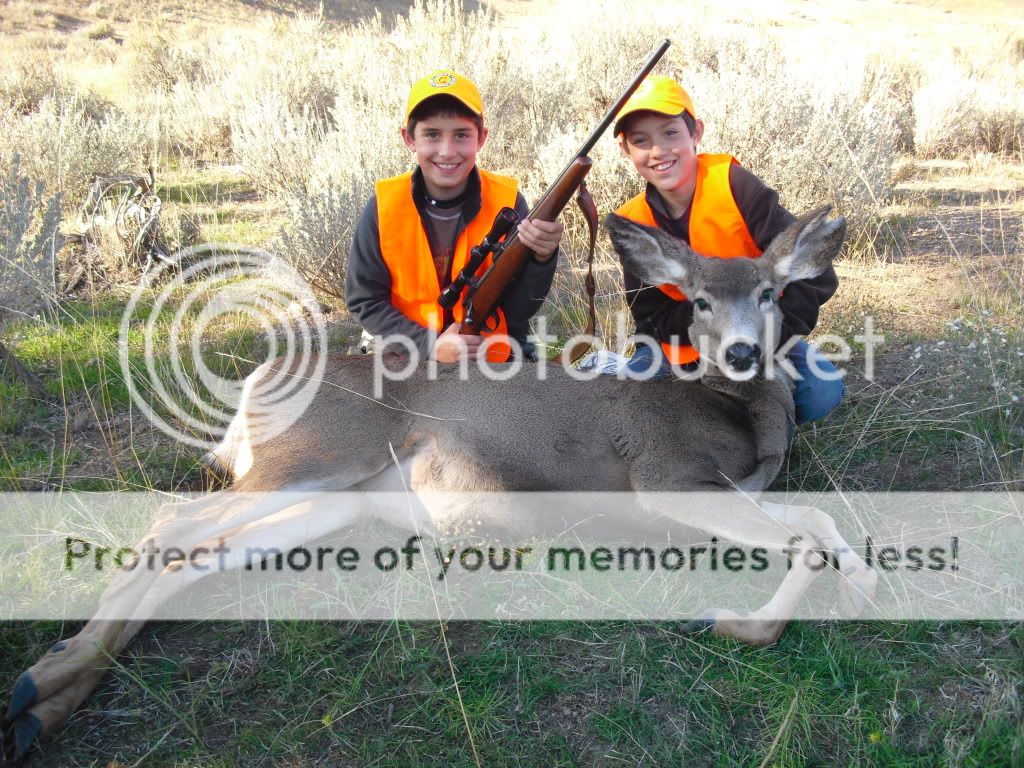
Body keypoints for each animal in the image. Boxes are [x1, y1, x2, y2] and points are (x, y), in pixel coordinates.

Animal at [2, 206, 877, 761]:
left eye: (767, 291)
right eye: (696, 300)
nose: (741, 351)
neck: (735, 412)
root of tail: (254, 385)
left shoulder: (734, 486)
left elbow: (823, 522)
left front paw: (855, 585)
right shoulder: (665, 476)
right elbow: (808, 534)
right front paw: (735, 621)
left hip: (331, 501)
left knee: (192, 553)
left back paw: (45, 694)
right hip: (313, 456)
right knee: (169, 527)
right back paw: (46, 683)